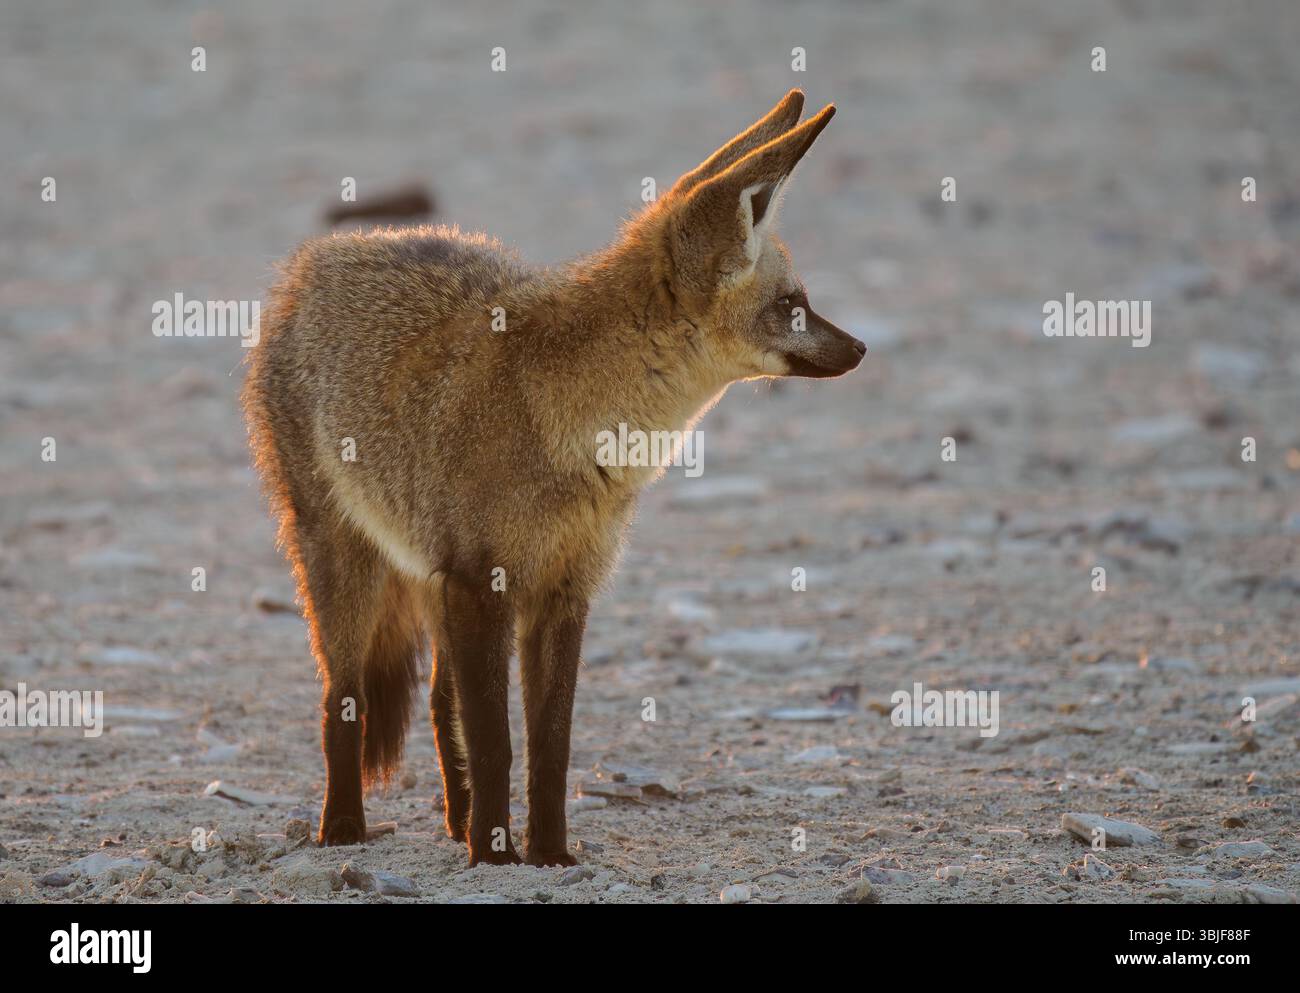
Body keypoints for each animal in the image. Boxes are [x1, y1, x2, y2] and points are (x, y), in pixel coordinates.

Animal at [241, 89, 864, 867]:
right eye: (792, 306)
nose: (861, 348)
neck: (580, 429)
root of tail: (315, 258)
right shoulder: (483, 581)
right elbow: (498, 743)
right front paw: (495, 857)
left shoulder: (564, 590)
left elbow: (548, 746)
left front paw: (547, 855)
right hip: (344, 568)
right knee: (342, 703)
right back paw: (344, 828)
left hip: (430, 583)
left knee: (441, 703)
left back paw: (457, 821)